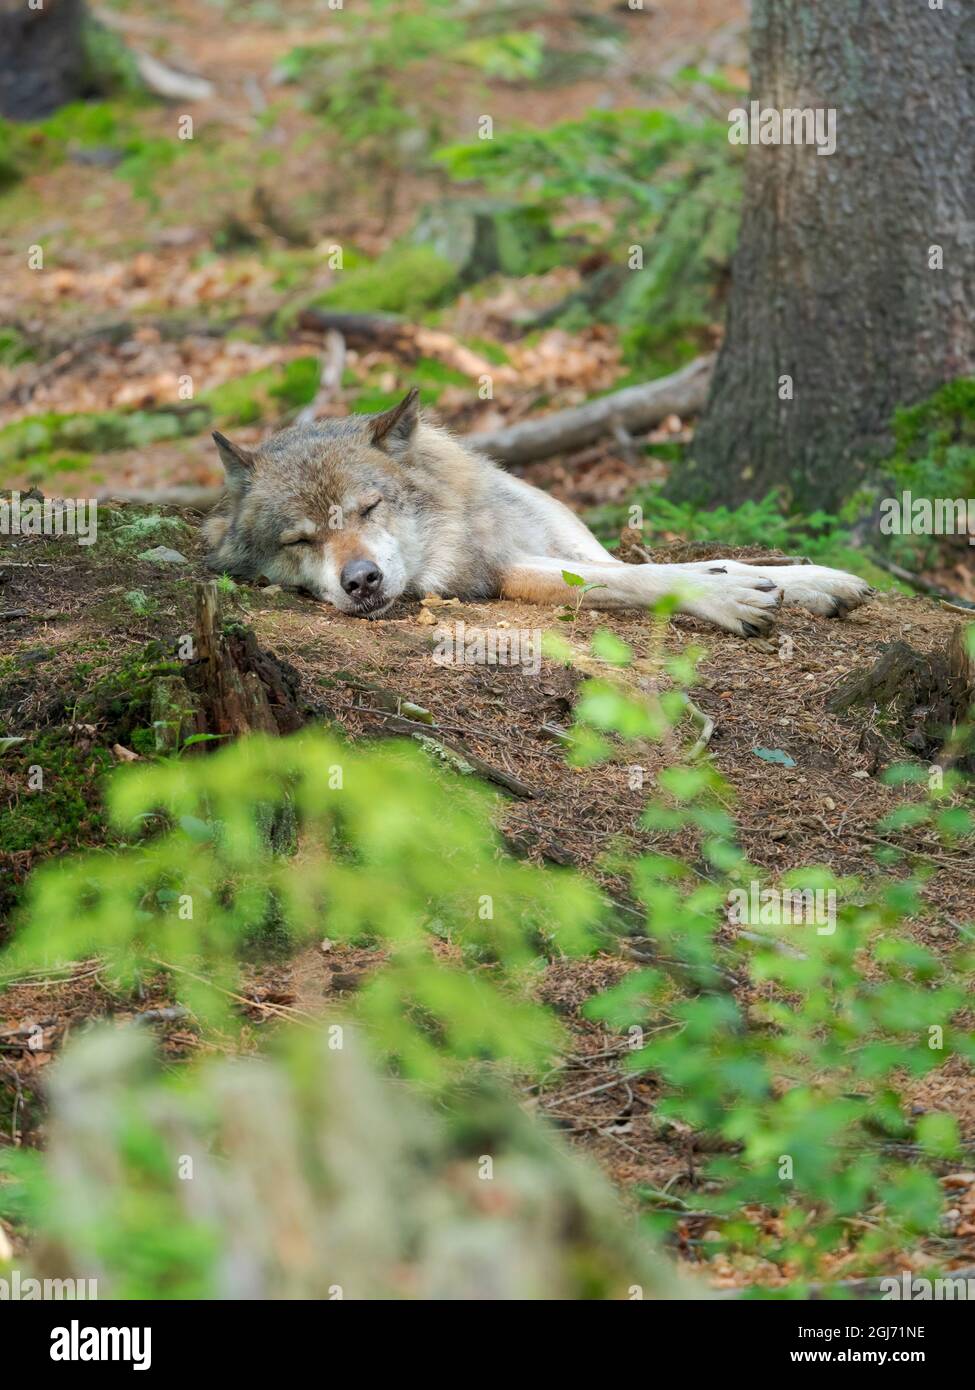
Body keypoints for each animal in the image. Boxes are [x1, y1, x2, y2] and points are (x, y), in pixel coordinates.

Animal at [203, 388, 872, 636]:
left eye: (369, 508)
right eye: (300, 541)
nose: (361, 581)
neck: (467, 529)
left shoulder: (570, 541)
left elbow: (714, 561)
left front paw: (817, 580)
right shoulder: (513, 572)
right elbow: (646, 579)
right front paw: (730, 598)